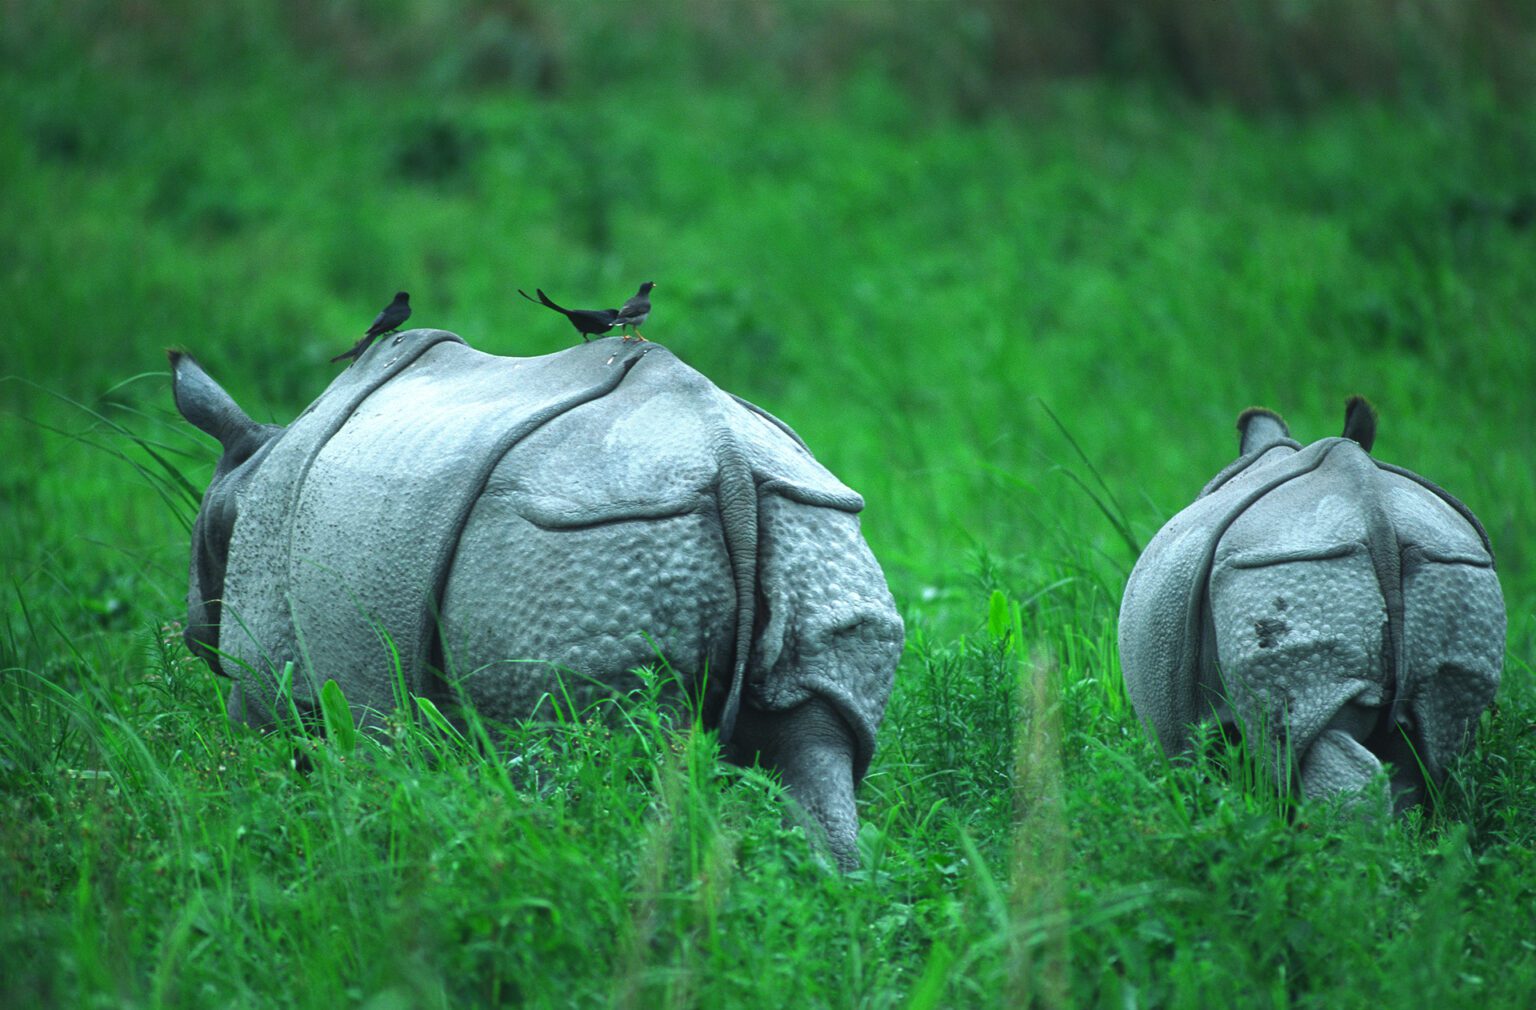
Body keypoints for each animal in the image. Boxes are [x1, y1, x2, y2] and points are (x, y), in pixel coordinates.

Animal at [169, 330, 905, 868]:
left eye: (204, 545)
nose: (191, 634)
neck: (249, 473)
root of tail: (726, 464)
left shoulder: (269, 674)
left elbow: (265, 765)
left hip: (579, 542)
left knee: (601, 761)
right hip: (811, 520)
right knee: (814, 741)